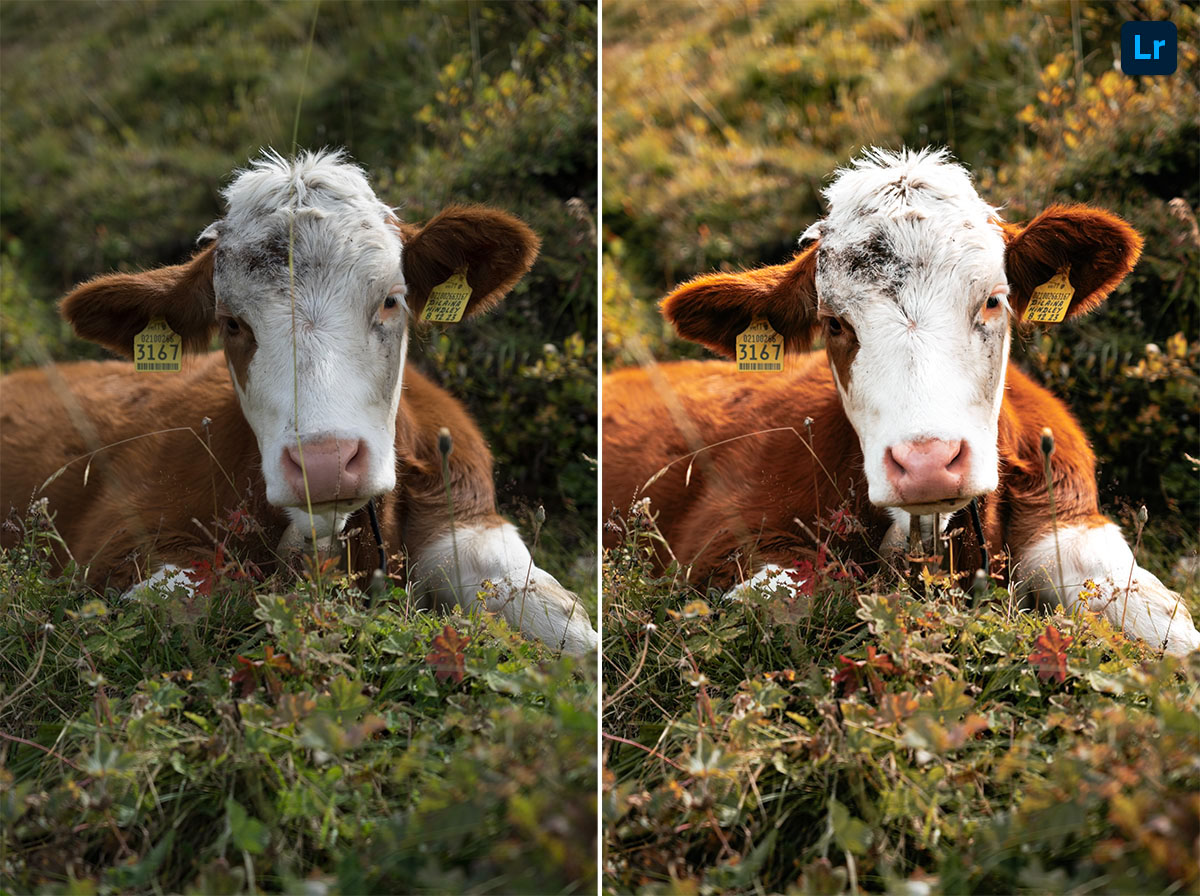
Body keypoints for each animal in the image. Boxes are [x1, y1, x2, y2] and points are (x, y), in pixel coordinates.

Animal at [0, 149, 598, 655]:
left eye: (391, 300)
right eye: (231, 323)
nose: (325, 463)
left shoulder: (470, 517)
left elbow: (565, 627)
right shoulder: (118, 543)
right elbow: (199, 595)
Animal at [603, 147, 1199, 657]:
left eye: (993, 300)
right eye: (834, 323)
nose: (926, 463)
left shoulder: (1071, 516)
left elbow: (1161, 622)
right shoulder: (720, 540)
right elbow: (799, 593)